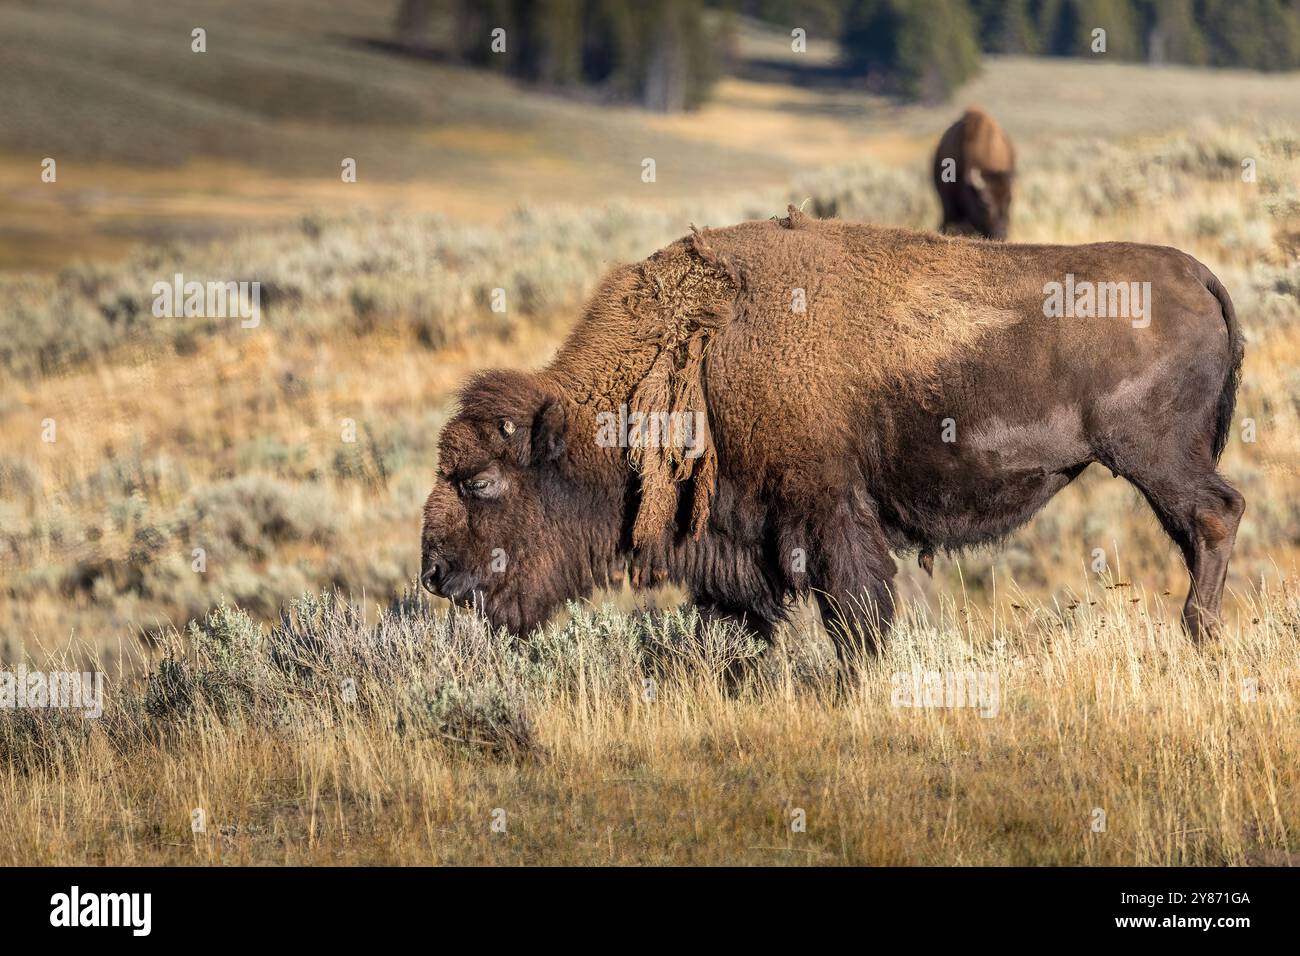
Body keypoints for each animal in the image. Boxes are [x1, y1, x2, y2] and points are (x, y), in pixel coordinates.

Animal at [422, 208, 1243, 668]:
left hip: (1155, 458)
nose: (434, 574)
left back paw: (1197, 633)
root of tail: (1199, 275)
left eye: (482, 481)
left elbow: (856, 609)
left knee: (1215, 515)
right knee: (1202, 525)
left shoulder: (825, 510)